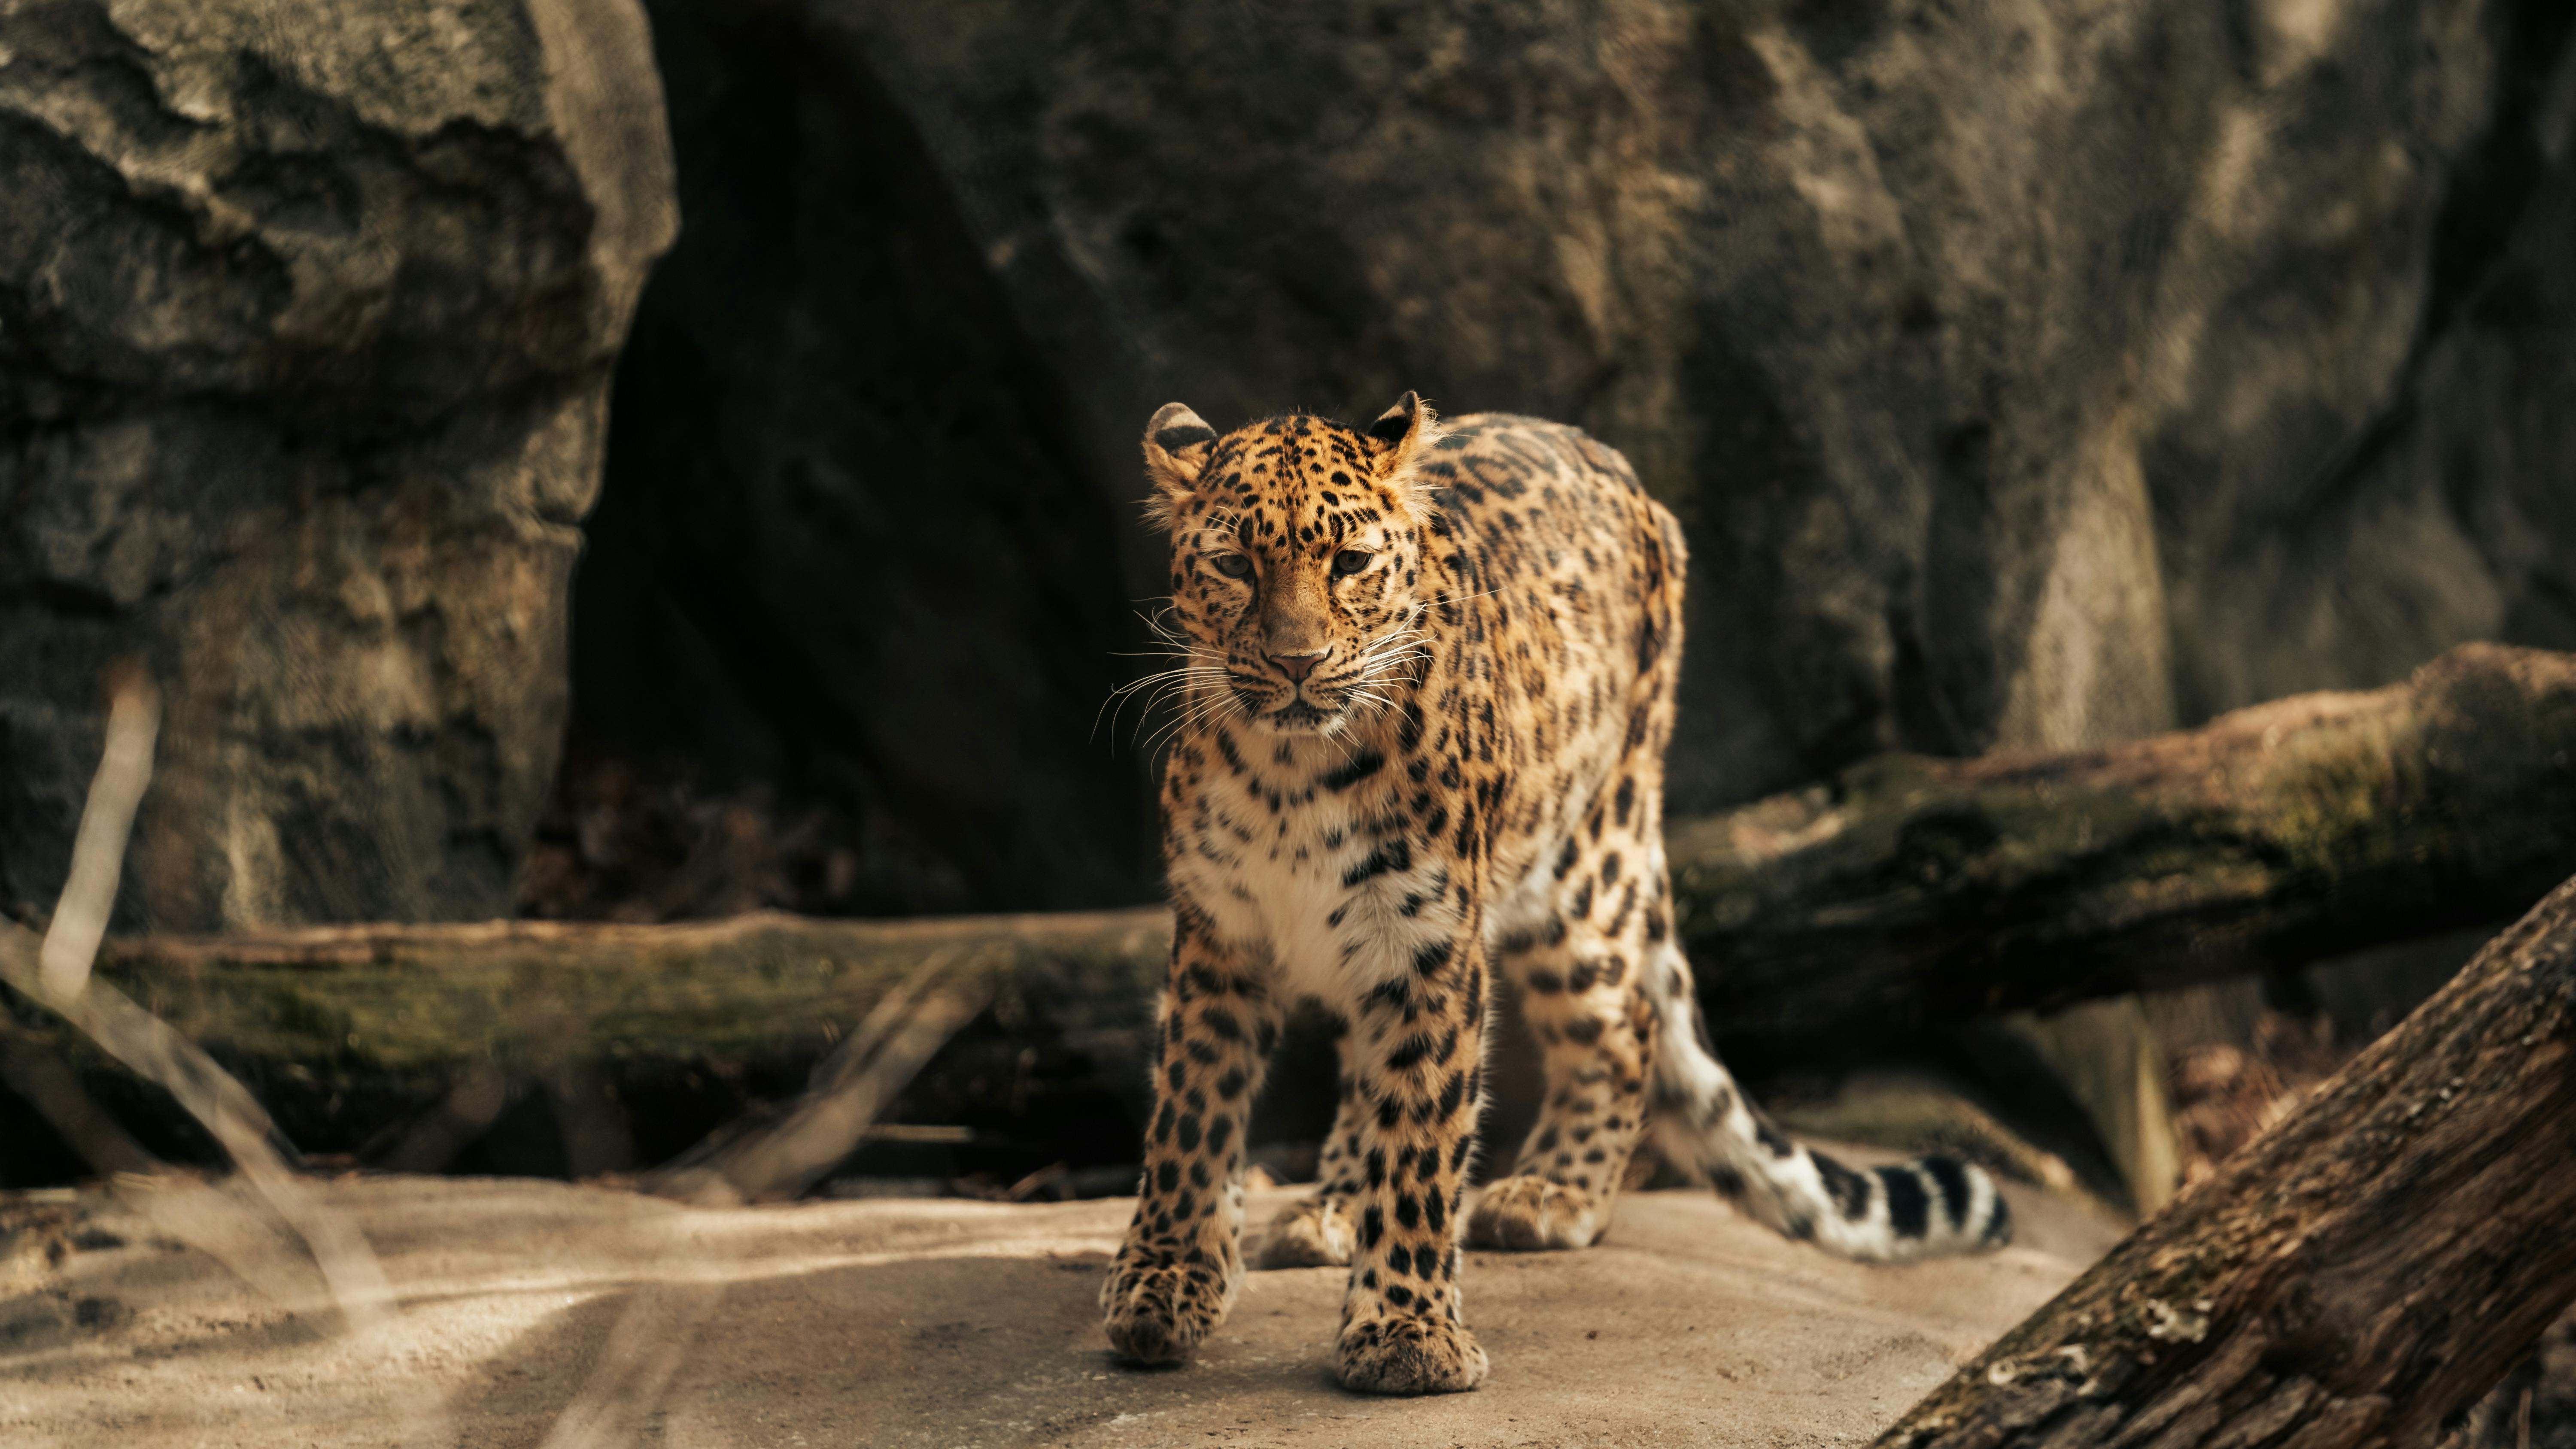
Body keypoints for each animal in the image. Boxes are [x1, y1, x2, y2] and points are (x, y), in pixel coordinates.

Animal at [1099, 392, 2011, 1396]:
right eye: (1233, 565)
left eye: (1349, 564)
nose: (1298, 662)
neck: (1292, 771)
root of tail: (1621, 470)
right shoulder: (1217, 936)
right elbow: (1191, 1118)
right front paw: (1163, 1288)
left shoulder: (1429, 942)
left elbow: (1420, 1135)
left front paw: (1406, 1332)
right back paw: (1328, 1206)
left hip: (1585, 866)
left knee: (1625, 1025)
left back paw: (1555, 1190)